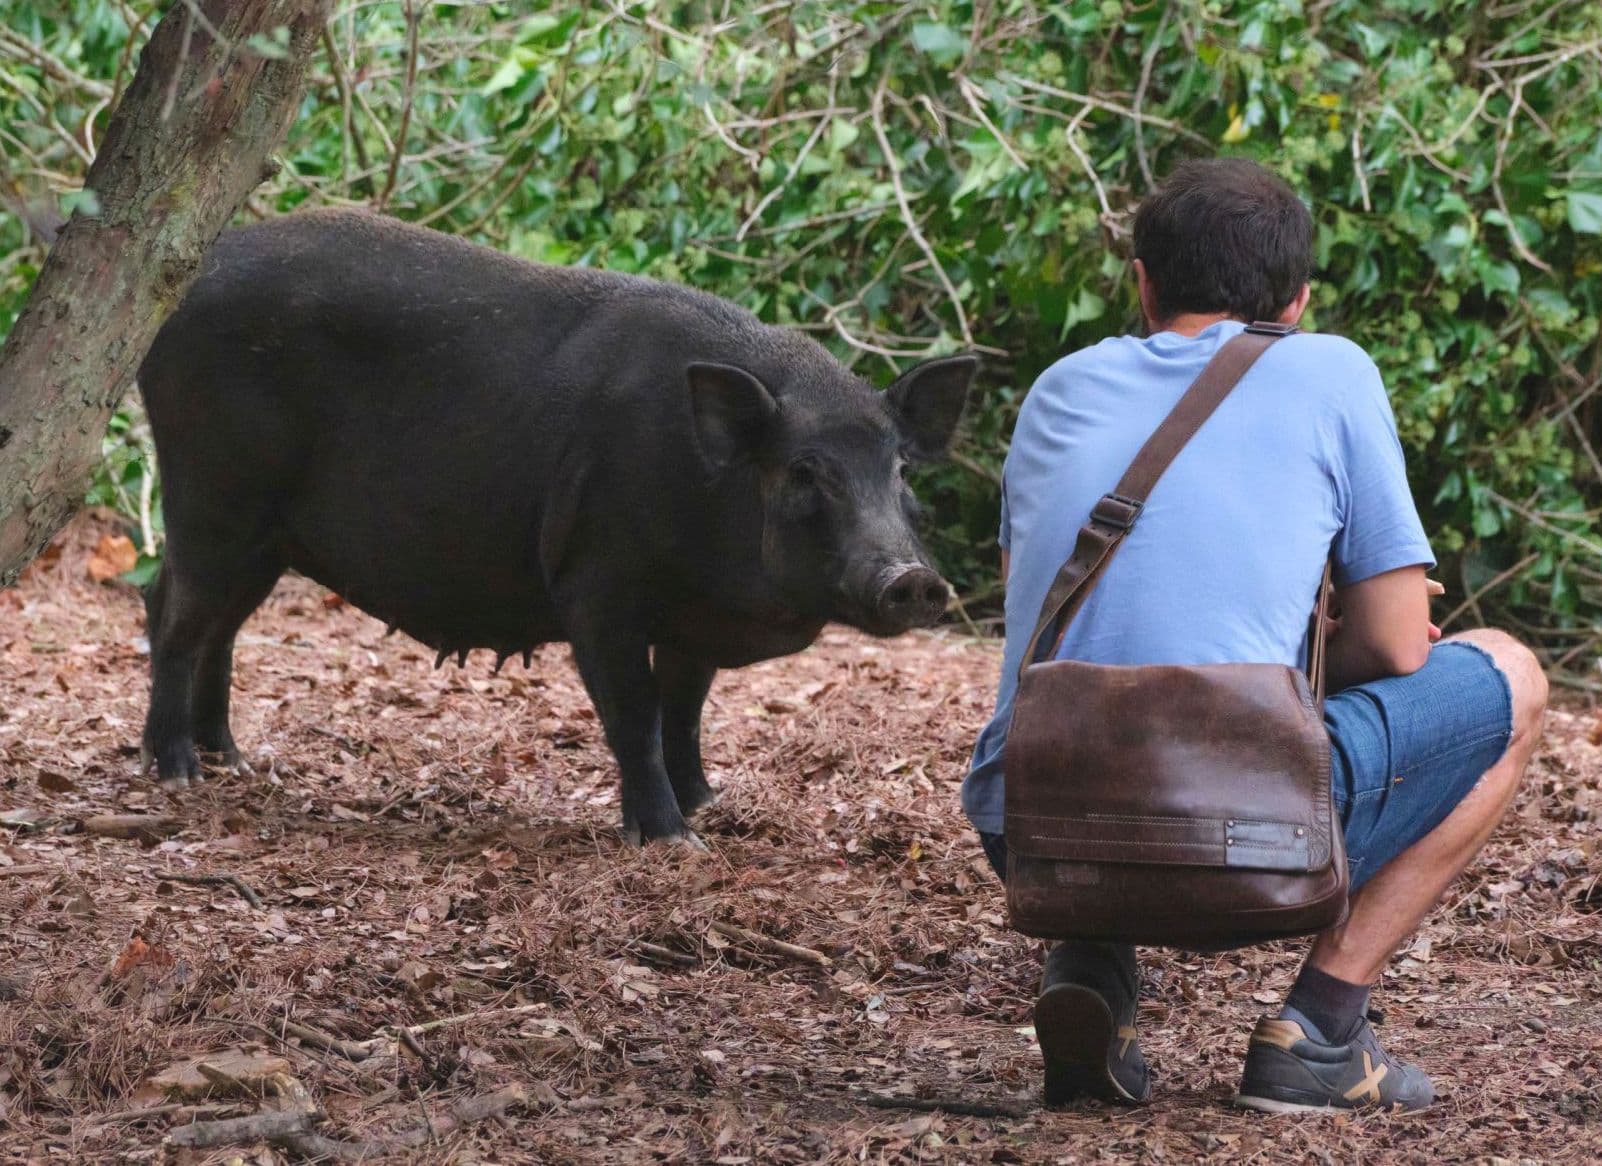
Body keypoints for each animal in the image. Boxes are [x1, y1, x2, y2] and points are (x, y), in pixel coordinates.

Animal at [136, 209, 976, 845]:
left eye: (900, 470)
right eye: (804, 472)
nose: (913, 579)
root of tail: (177, 298)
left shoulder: (692, 616)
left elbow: (687, 709)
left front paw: (708, 803)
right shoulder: (594, 583)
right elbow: (635, 713)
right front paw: (672, 839)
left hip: (265, 536)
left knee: (215, 621)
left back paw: (232, 759)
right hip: (213, 490)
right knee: (174, 612)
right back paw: (175, 771)